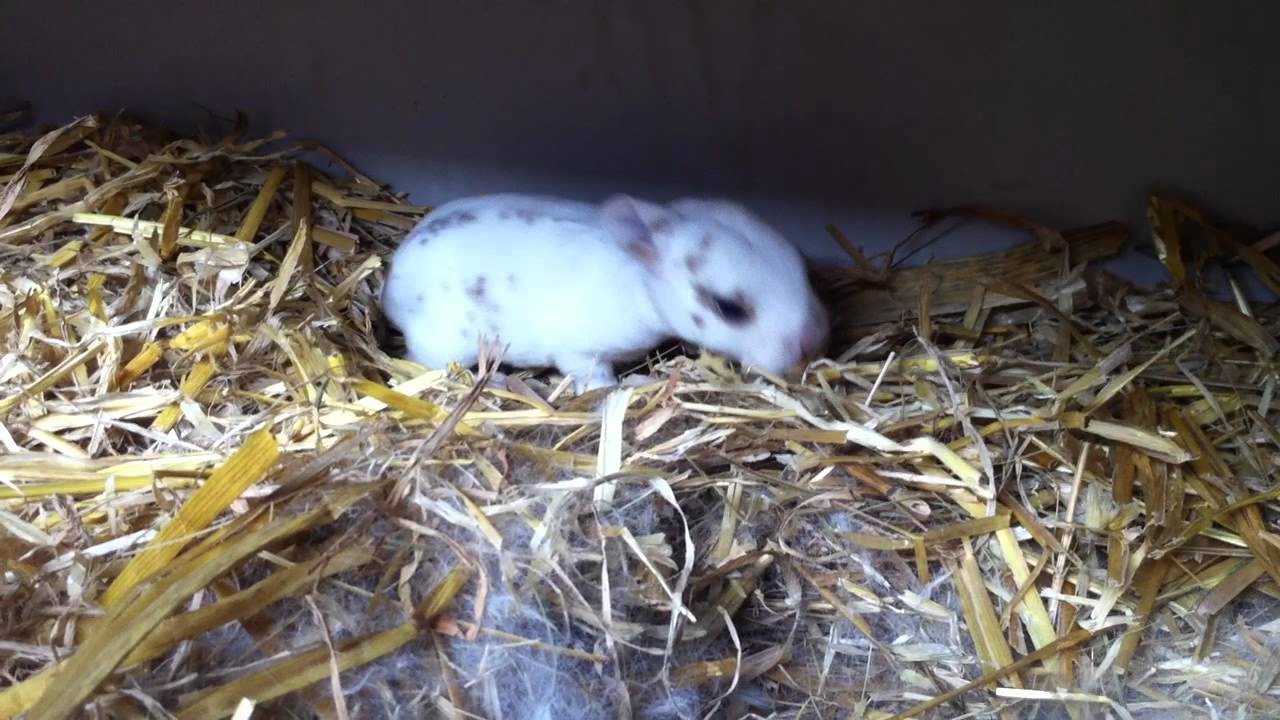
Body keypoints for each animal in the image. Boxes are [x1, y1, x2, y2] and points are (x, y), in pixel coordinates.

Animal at [380, 193, 829, 393]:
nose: (813, 342)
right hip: (444, 346)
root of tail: (393, 284)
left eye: (801, 268)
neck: (638, 284)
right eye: (728, 307)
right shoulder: (580, 352)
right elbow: (596, 378)